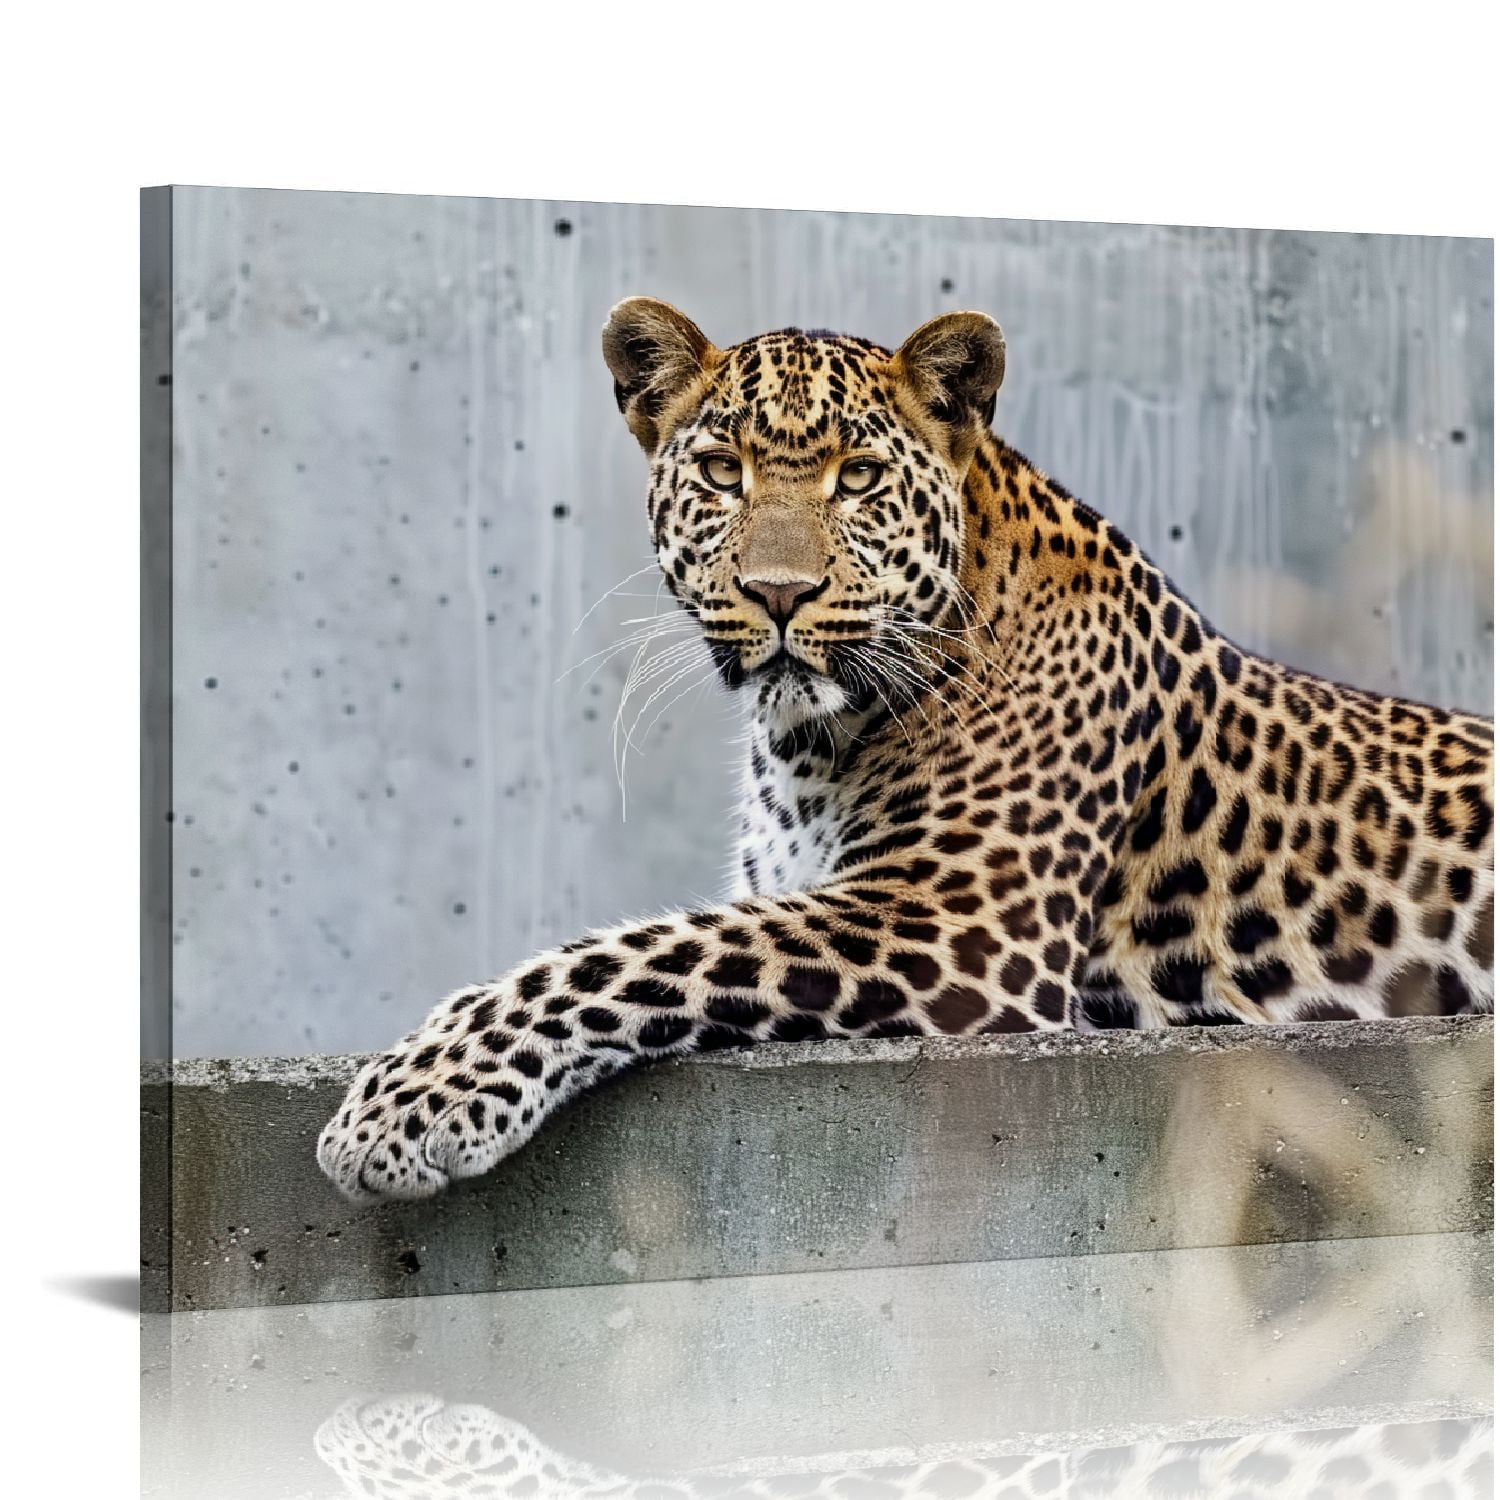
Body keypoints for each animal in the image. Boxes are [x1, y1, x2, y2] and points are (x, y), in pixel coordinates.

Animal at [318, 296, 1494, 1202]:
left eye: (857, 479)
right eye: (723, 471)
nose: (778, 593)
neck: (809, 740)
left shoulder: (956, 923)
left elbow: (637, 951)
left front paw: (405, 1105)